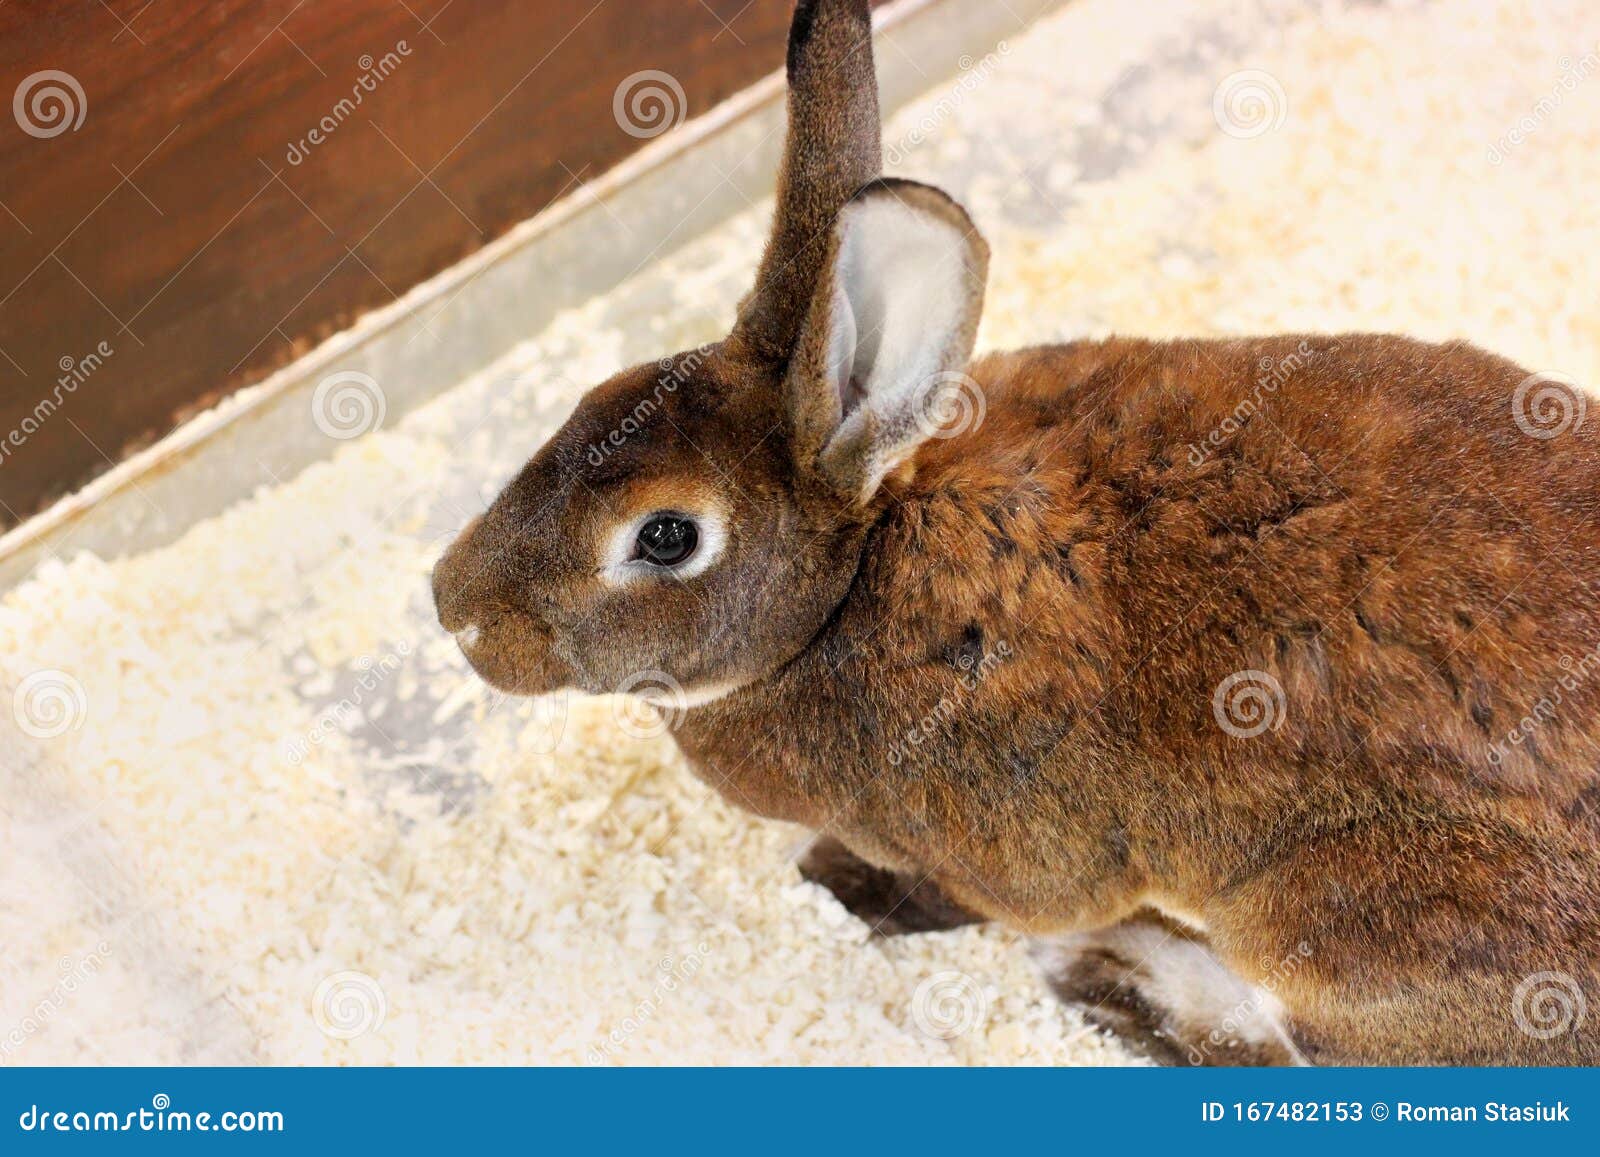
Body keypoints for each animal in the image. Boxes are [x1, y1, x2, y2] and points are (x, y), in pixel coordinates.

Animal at [433, 0, 1600, 1065]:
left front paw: (842, 883)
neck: (851, 578)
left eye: (666, 536)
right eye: (588, 402)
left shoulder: (1000, 851)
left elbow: (963, 895)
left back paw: (1110, 976)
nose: (453, 607)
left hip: (1343, 913)